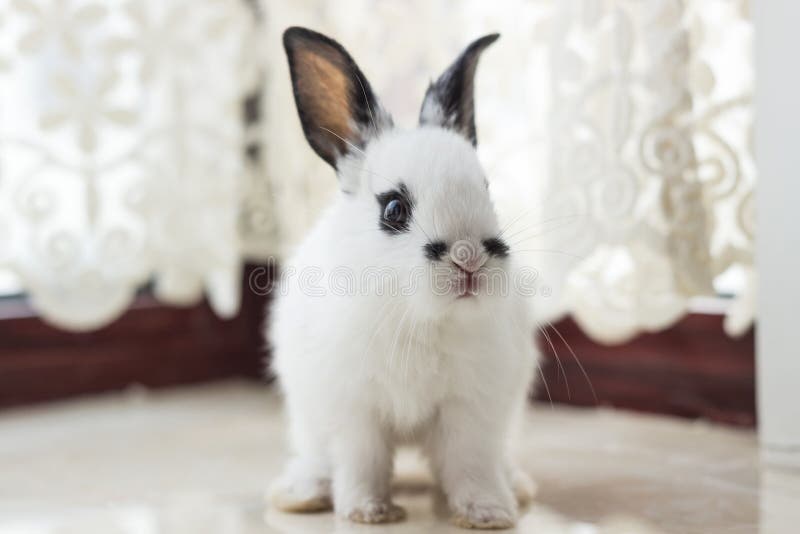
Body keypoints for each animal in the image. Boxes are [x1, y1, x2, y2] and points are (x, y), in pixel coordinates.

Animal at [268, 27, 539, 529]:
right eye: (394, 209)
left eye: (486, 190)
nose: (469, 258)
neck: (421, 317)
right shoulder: (356, 410)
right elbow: (362, 463)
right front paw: (367, 511)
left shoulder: (471, 409)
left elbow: (472, 465)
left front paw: (488, 513)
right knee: (317, 458)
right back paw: (301, 494)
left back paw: (519, 487)